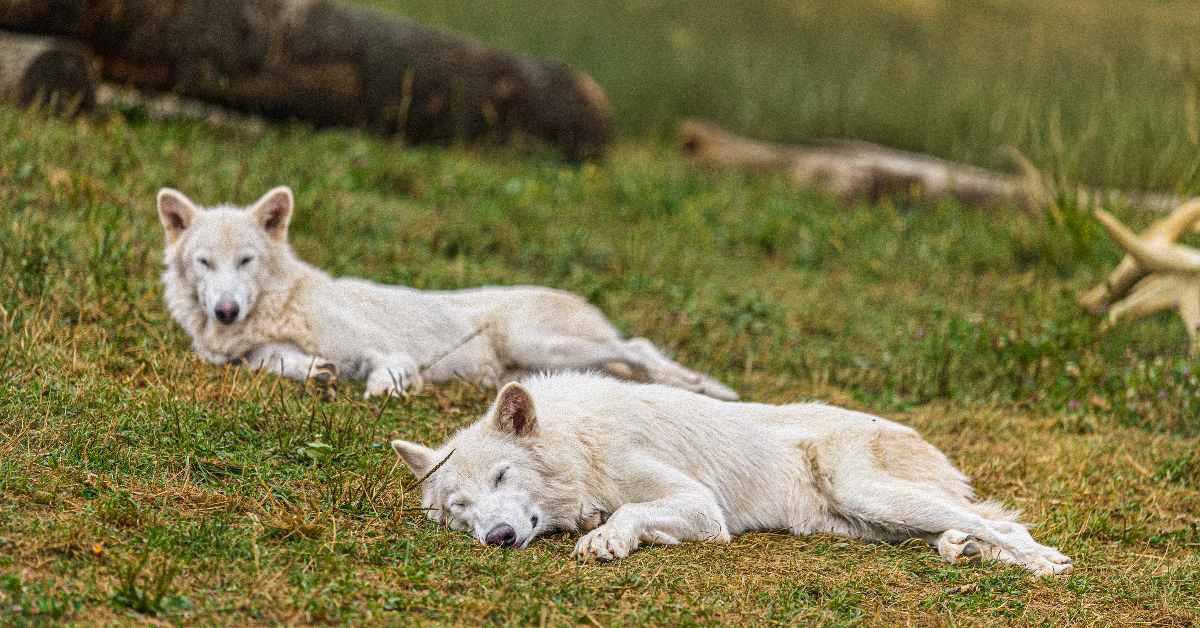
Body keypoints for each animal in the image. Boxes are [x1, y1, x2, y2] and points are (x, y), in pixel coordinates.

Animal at [156, 186, 737, 400]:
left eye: (246, 260)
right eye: (205, 262)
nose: (225, 311)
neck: (280, 306)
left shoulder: (380, 344)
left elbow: (385, 366)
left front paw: (389, 386)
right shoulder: (253, 354)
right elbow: (278, 363)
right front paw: (316, 372)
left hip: (541, 343)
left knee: (639, 346)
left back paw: (708, 388)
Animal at [391, 373, 1073, 575]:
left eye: (503, 477)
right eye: (458, 510)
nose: (497, 539)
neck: (583, 443)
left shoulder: (700, 504)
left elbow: (630, 511)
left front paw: (605, 538)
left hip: (871, 494)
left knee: (1002, 527)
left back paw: (1045, 564)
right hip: (870, 520)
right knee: (976, 529)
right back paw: (964, 549)